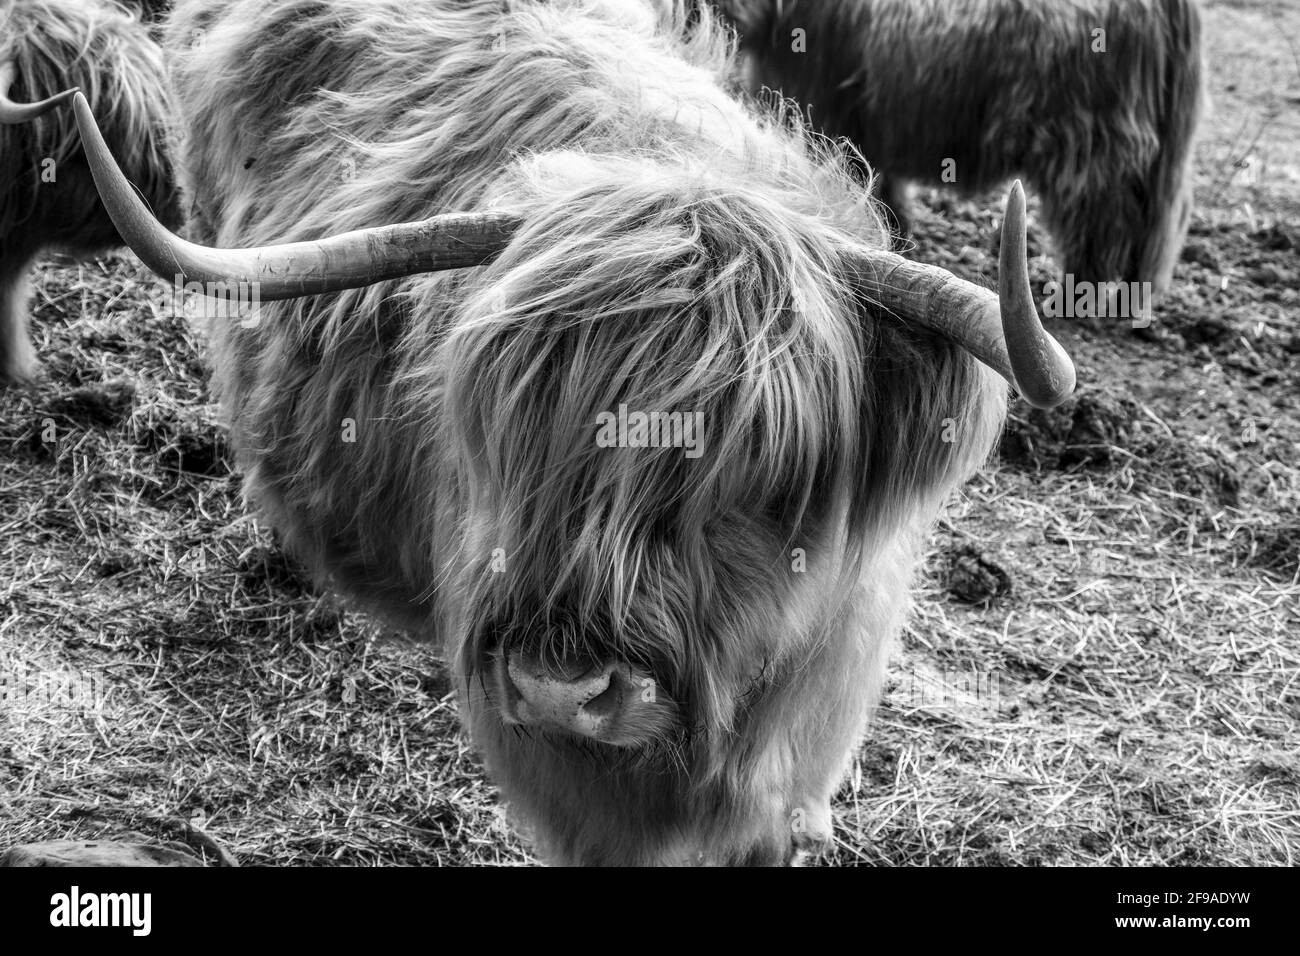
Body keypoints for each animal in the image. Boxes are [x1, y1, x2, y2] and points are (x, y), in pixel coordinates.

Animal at [710, 0, 1205, 300]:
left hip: (1091, 138)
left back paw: (1081, 291)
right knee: (1156, 218)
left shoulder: (828, 113)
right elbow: (882, 187)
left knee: (1103, 213)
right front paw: (898, 236)